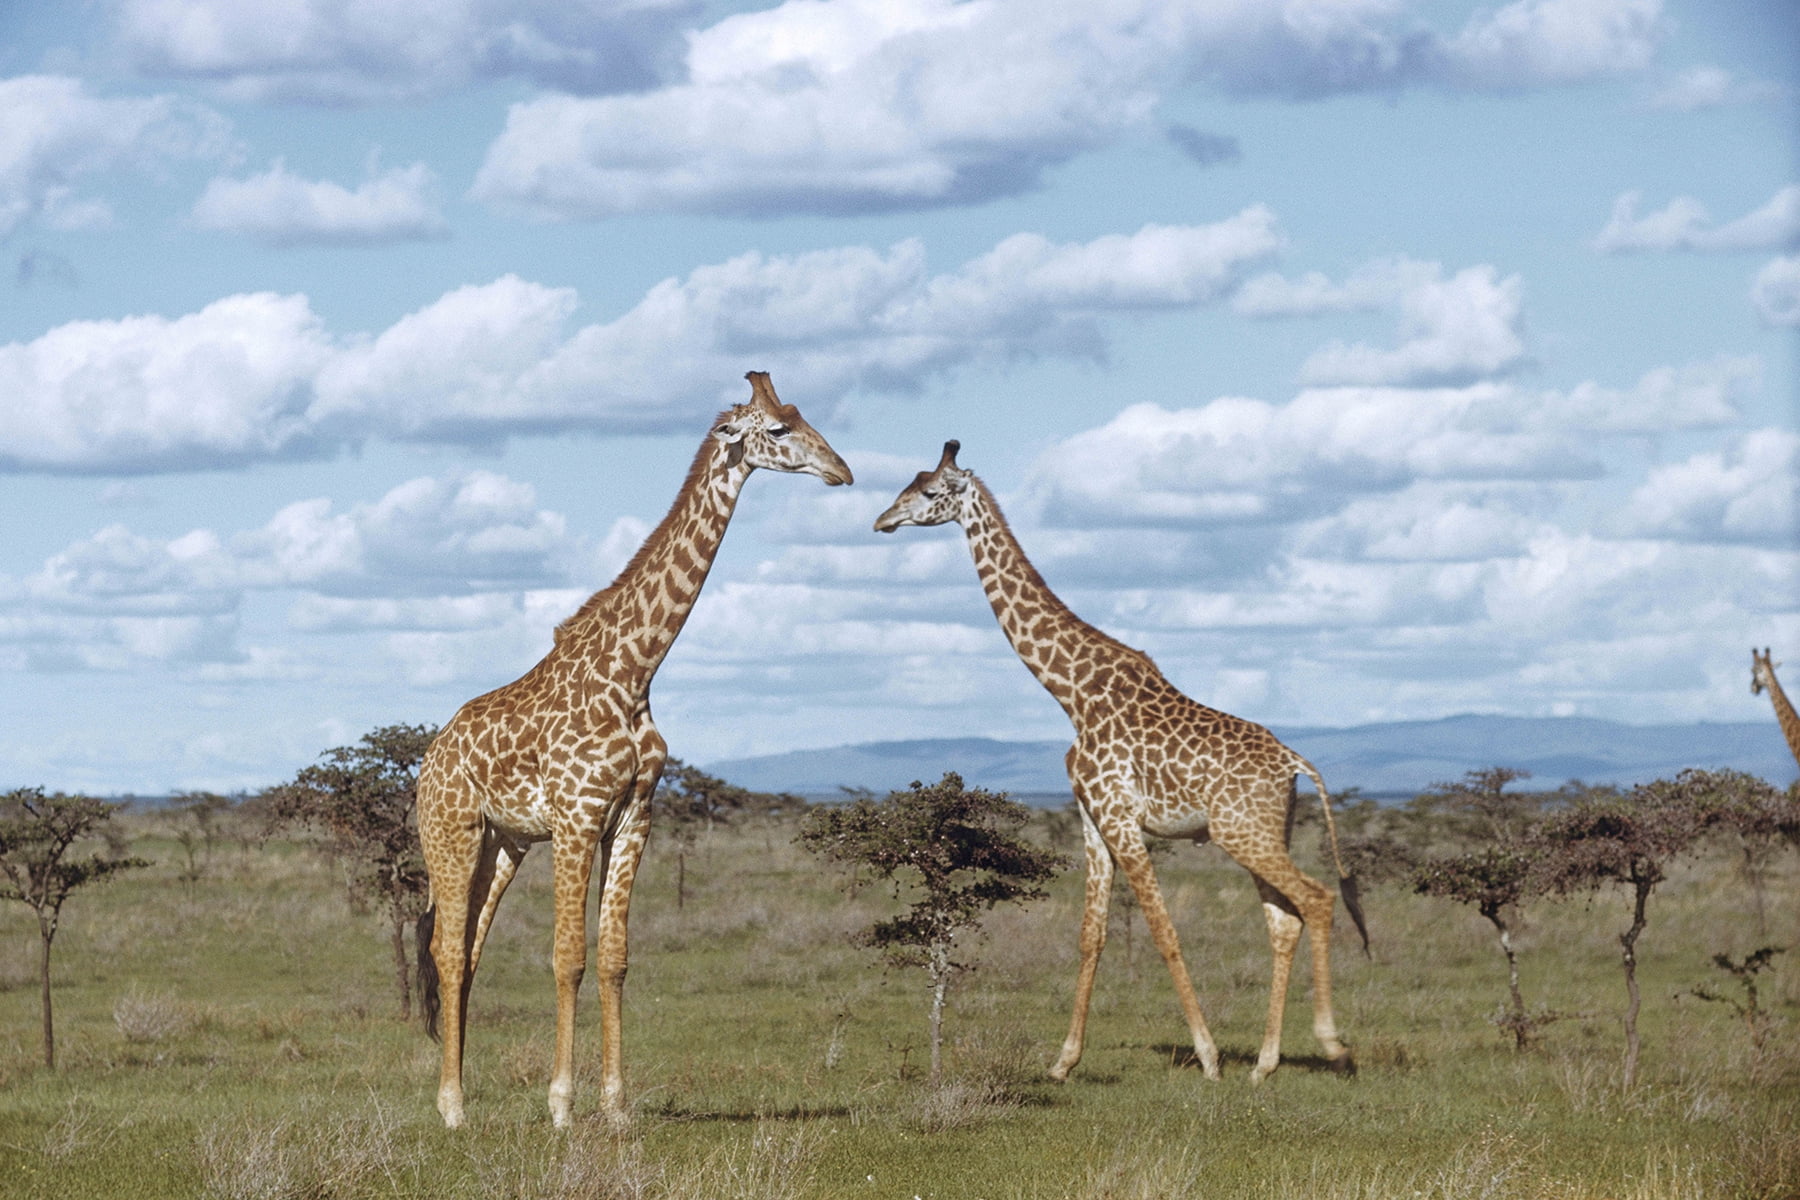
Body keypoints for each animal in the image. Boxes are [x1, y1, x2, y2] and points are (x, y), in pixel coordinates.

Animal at [415, 372, 852, 1129]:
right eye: (778, 430)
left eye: (804, 418)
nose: (841, 471)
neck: (633, 672)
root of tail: (427, 761)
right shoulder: (576, 817)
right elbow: (568, 958)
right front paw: (562, 1107)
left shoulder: (633, 818)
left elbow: (615, 957)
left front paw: (616, 1108)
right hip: (452, 834)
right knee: (445, 950)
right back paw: (452, 1109)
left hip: (503, 844)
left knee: (467, 952)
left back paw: (461, 1097)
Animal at [874, 440, 1368, 1085]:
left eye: (930, 492)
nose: (882, 520)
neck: (1071, 693)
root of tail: (1297, 764)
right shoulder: (1092, 817)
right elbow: (1092, 935)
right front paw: (1063, 1062)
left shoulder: (1121, 818)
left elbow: (1163, 931)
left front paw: (1208, 1057)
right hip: (1263, 831)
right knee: (1283, 921)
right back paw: (1264, 1065)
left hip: (1242, 833)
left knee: (1316, 900)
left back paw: (1331, 1045)